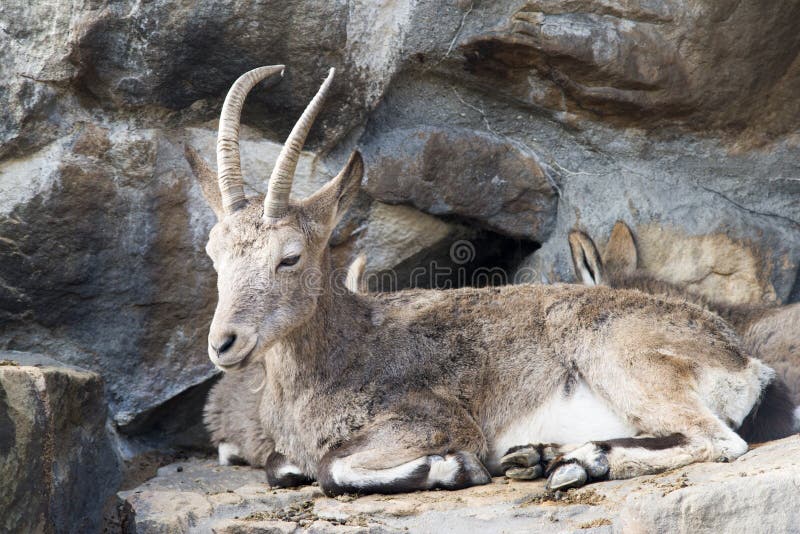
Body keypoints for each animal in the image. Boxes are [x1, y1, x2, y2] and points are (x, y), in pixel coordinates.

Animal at [186, 65, 794, 496]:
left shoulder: (432, 419)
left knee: (718, 439)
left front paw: (454, 468)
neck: (344, 352)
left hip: (618, 356)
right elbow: (281, 466)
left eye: (288, 257)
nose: (224, 343)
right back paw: (548, 457)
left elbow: (334, 469)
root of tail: (745, 362)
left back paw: (573, 462)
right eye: (213, 254)